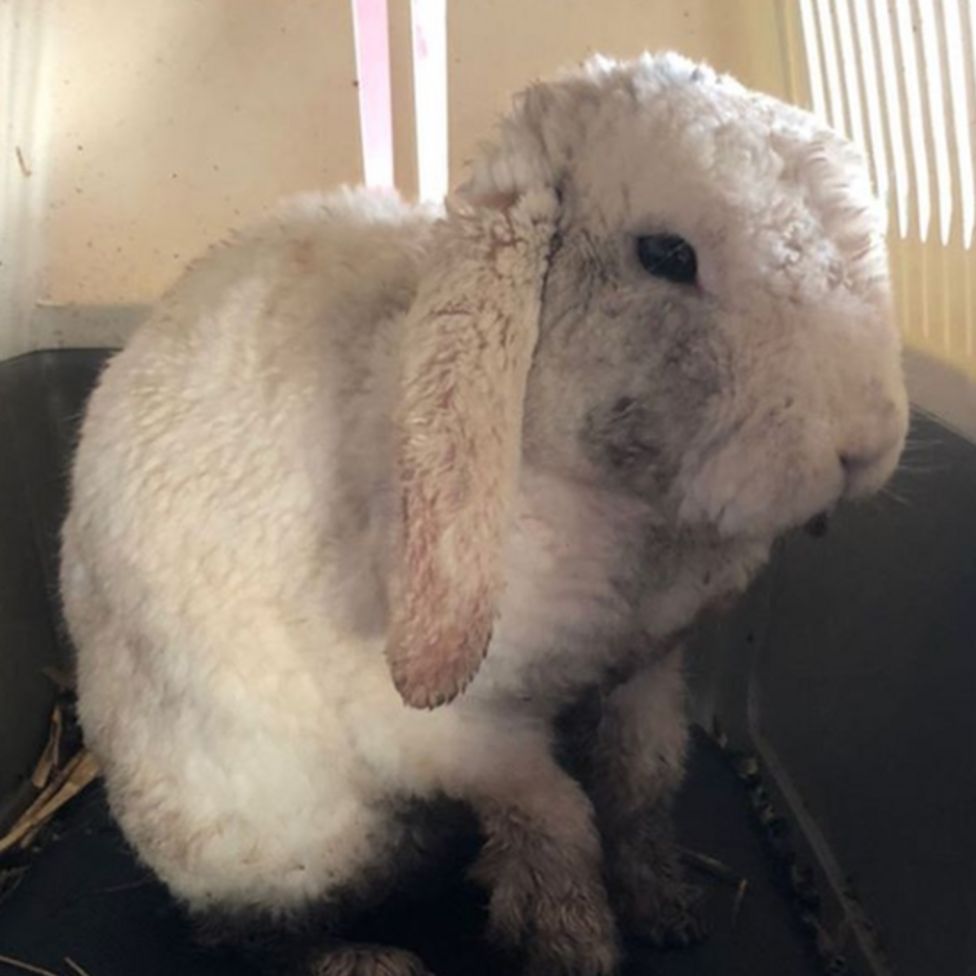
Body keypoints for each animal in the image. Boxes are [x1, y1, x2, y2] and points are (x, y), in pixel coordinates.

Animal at [60, 51, 908, 976]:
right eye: (666, 254)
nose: (866, 444)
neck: (616, 511)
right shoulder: (463, 738)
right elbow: (557, 819)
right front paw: (577, 946)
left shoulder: (650, 674)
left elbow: (641, 789)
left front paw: (666, 910)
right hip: (270, 834)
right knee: (243, 928)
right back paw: (369, 959)